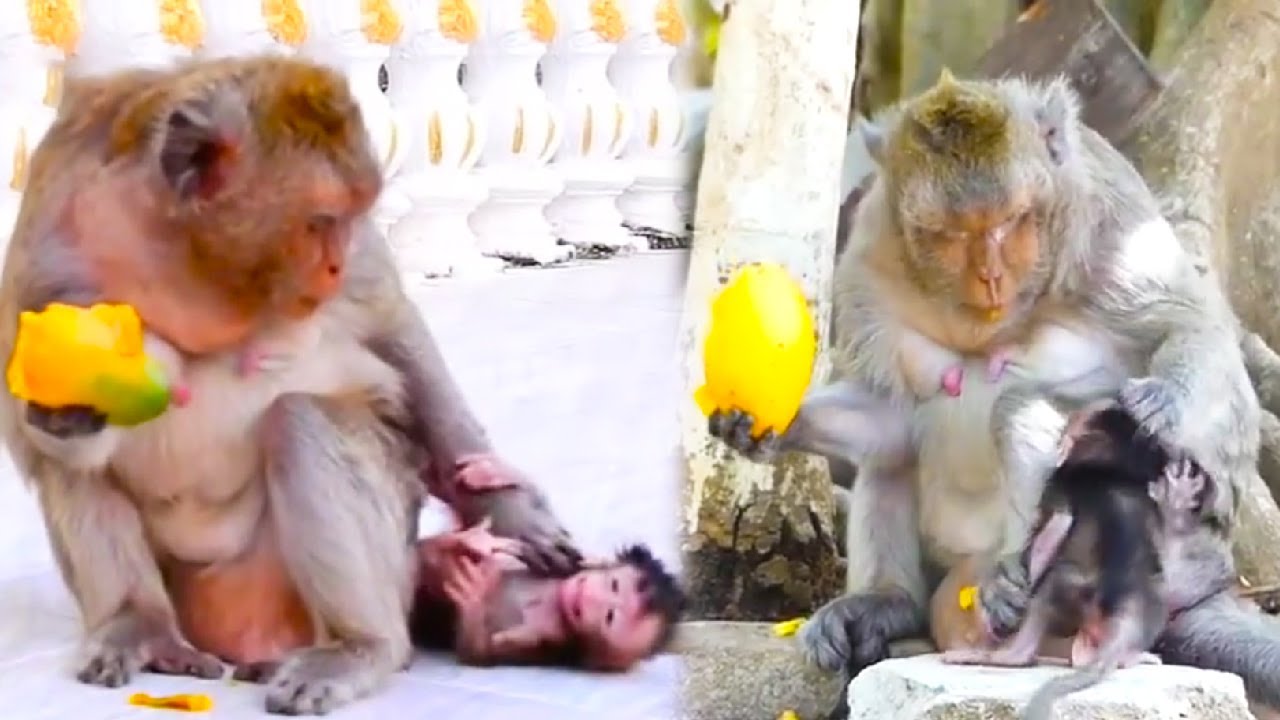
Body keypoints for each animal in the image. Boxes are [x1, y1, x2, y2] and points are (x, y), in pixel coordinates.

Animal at [0, 56, 582, 715]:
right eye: (318, 221)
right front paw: (66, 415)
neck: (188, 253)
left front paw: (509, 509)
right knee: (69, 469)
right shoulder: (54, 225)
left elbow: (392, 330)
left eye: (347, 220)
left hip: (365, 567)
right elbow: (44, 428)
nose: (333, 265)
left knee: (303, 420)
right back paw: (139, 626)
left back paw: (360, 647)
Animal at [407, 521, 684, 671]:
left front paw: (474, 599)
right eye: (614, 585)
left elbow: (475, 653)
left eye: (609, 616)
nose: (588, 596)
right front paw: (468, 540)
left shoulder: (545, 644)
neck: (553, 599)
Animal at [703, 72, 1266, 719]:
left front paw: (1164, 400)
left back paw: (1026, 568)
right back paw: (890, 602)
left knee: (1020, 411)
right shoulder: (871, 255)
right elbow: (893, 418)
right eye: (946, 235)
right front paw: (767, 430)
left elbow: (1189, 328)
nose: (991, 277)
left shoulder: (1111, 222)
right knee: (892, 462)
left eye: (1012, 220)